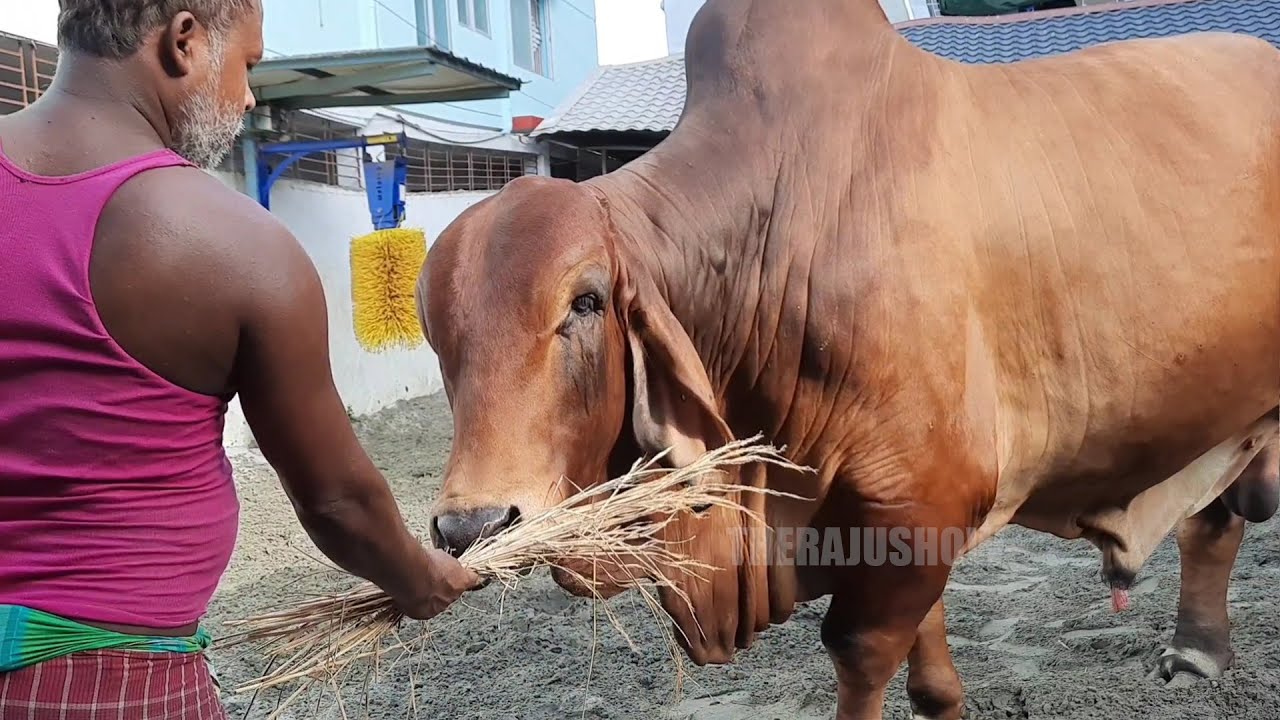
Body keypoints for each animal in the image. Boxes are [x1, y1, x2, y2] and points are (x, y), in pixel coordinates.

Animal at [415, 0, 1280, 718]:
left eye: (586, 301)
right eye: (433, 328)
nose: (472, 526)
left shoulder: (919, 505)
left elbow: (859, 653)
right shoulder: (894, 514)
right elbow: (930, 677)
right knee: (1219, 511)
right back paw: (1199, 652)